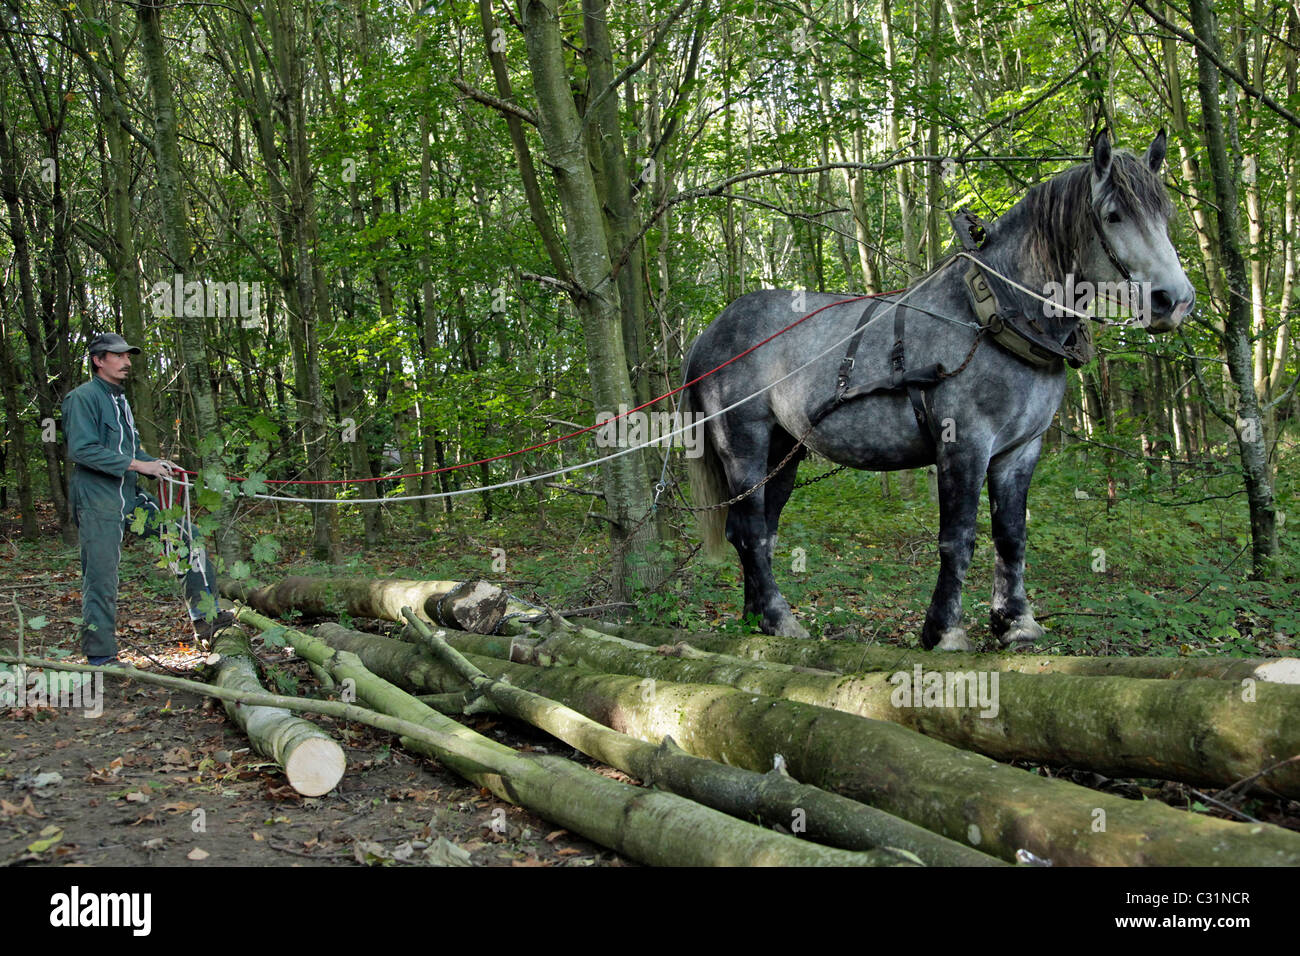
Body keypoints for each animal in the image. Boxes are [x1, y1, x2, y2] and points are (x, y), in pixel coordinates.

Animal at [682, 132, 1195, 650]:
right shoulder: (964, 442)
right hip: (743, 441)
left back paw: (758, 620)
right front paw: (945, 630)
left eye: (1166, 214)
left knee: (760, 531)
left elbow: (1011, 535)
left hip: (784, 450)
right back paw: (780, 618)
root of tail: (708, 333)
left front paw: (1016, 624)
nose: (1174, 300)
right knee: (749, 531)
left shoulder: (1020, 450)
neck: (996, 314)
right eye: (1112, 215)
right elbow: (958, 538)